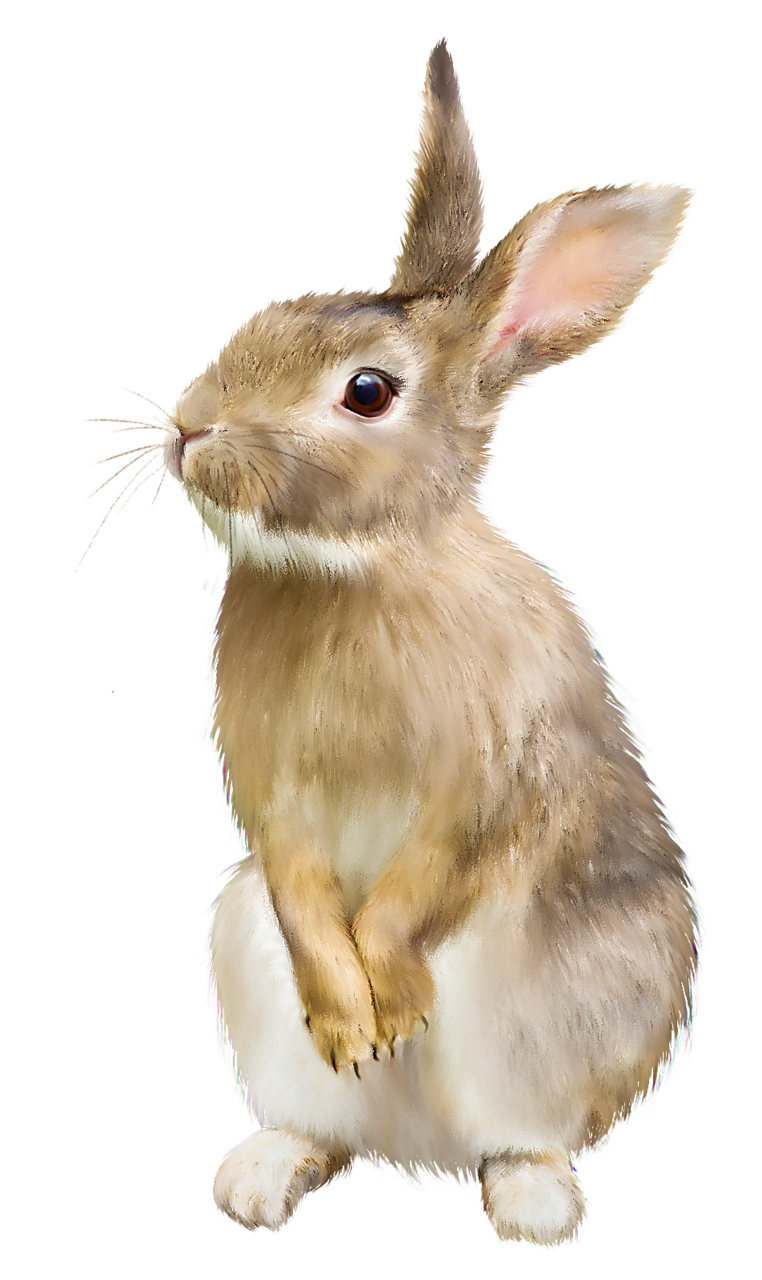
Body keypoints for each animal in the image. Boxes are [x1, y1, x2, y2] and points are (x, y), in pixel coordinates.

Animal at [149, 37, 704, 1248]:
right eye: (271, 314)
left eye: (367, 391)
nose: (186, 428)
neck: (356, 571)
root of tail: (421, 1155)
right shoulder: (275, 800)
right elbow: (305, 880)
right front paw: (357, 1022)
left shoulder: (487, 772)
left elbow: (423, 878)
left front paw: (392, 1003)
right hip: (243, 950)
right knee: (325, 1123)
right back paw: (266, 1173)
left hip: (571, 997)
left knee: (519, 1133)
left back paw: (532, 1205)